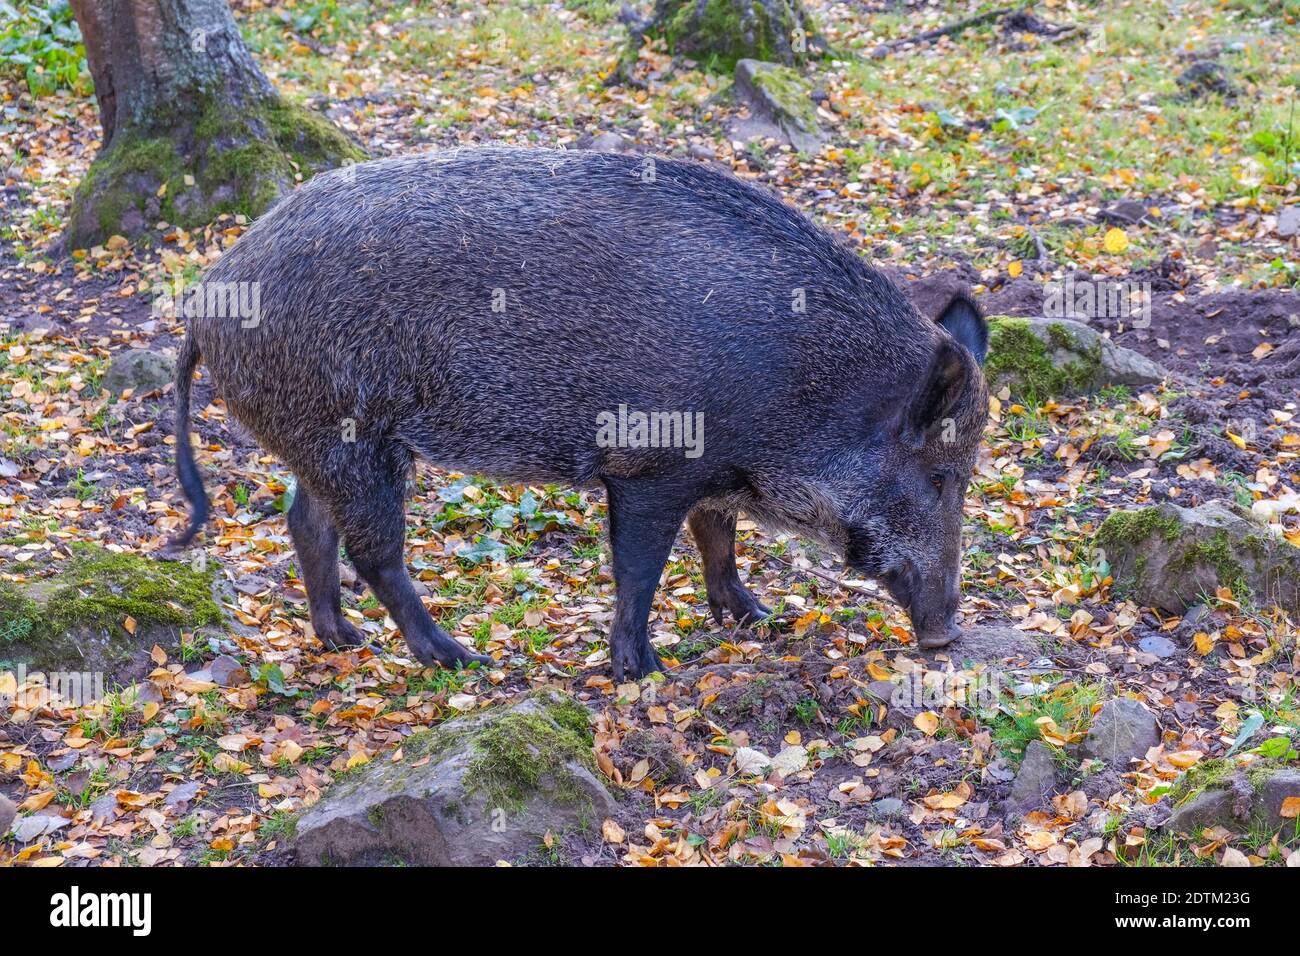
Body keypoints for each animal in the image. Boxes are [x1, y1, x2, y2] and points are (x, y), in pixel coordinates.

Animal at [169, 147, 989, 680]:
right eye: (941, 476)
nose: (945, 635)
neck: (804, 384)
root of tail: (209, 296)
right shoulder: (650, 466)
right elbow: (642, 568)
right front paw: (642, 671)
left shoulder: (713, 475)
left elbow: (718, 540)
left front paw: (757, 617)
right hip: (355, 440)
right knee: (376, 553)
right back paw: (458, 658)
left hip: (327, 441)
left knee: (305, 521)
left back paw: (344, 639)